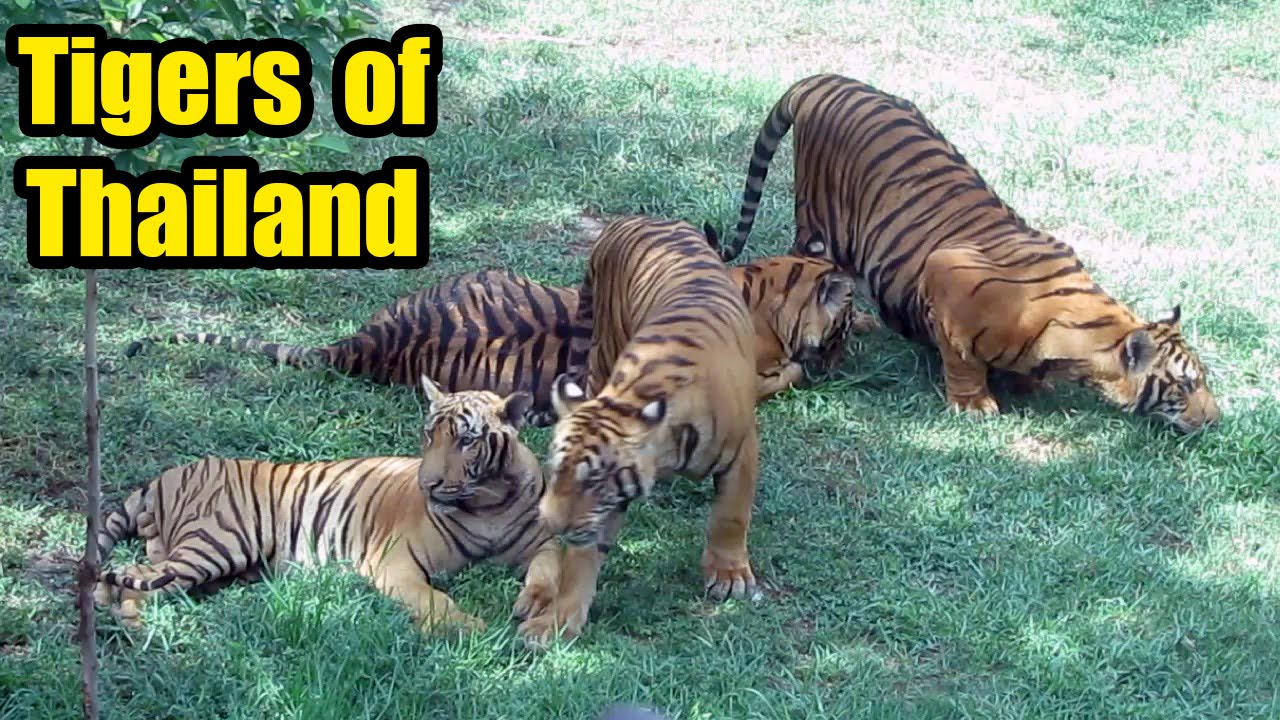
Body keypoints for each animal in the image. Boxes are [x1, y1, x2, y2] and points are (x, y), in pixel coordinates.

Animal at [91, 377, 560, 634]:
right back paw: (131, 618)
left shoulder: (542, 540)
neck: (487, 504)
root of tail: (167, 475)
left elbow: (549, 566)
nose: (428, 483)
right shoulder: (394, 563)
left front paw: (533, 602)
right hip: (219, 541)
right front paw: (468, 628)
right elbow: (434, 599)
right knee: (141, 578)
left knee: (139, 572)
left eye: (466, 440)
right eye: (431, 434)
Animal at [514, 215, 763, 647]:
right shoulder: (600, 512)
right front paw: (557, 623)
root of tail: (631, 218)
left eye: (593, 480)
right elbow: (581, 561)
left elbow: (731, 514)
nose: (553, 527)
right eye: (555, 472)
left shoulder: (743, 448)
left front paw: (729, 574)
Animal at [714, 72, 1220, 434]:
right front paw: (974, 403)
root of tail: (832, 81)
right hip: (821, 226)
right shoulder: (946, 272)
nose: (1215, 420)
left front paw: (1025, 385)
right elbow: (960, 356)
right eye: (1186, 383)